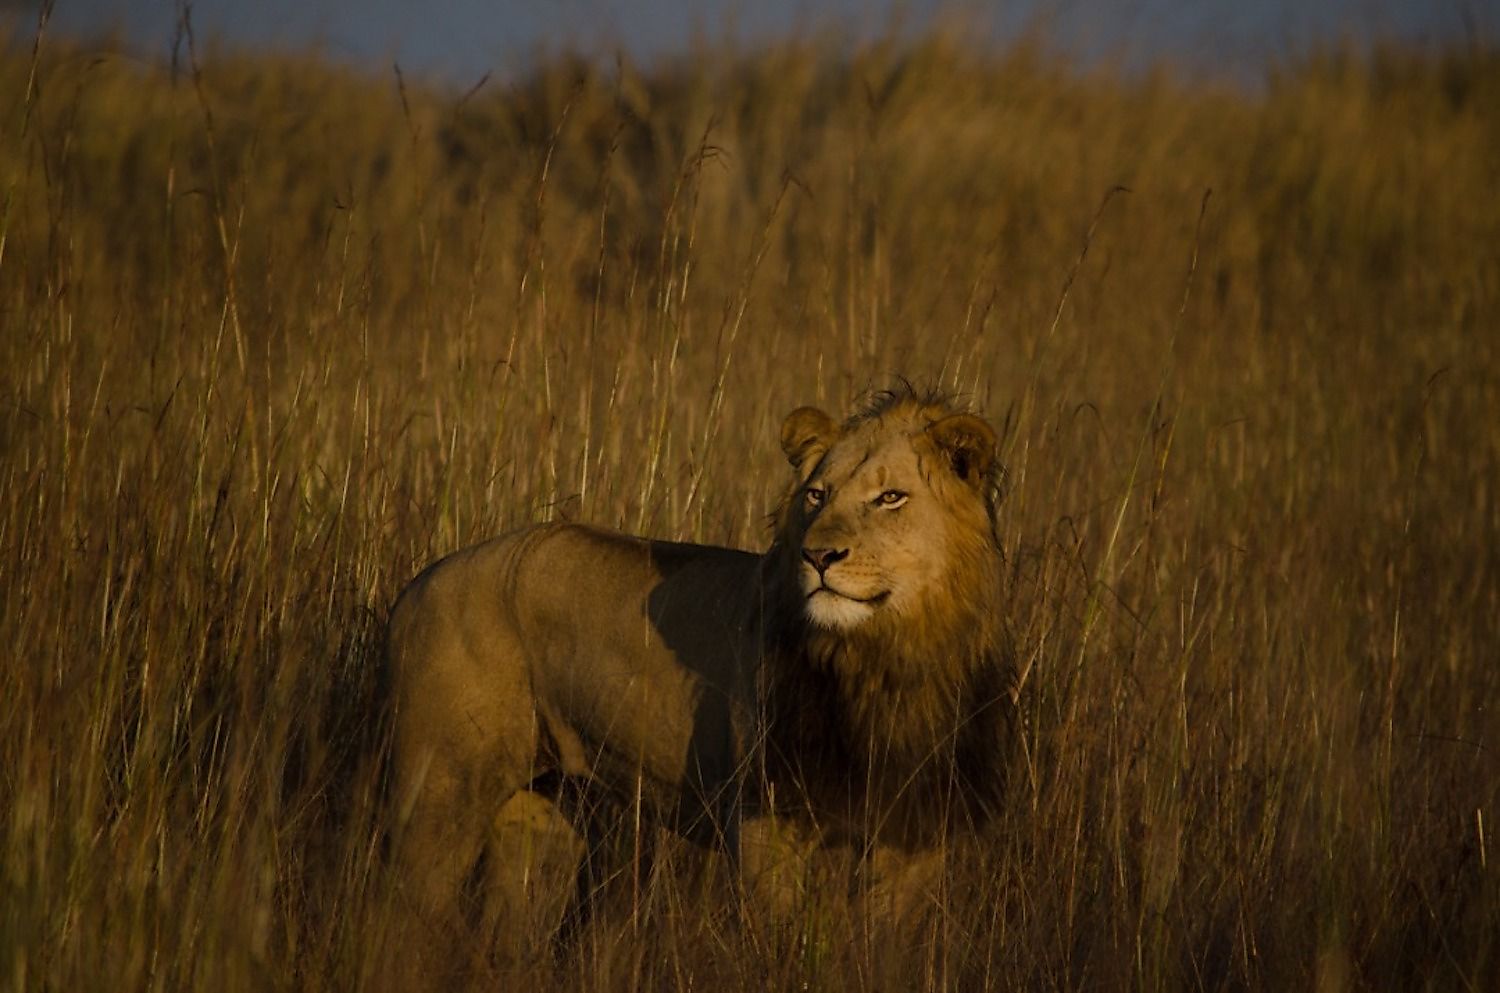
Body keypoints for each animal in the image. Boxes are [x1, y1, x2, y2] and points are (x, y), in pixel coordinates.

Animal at [384, 385, 1015, 972]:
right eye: (817, 494)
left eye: (890, 498)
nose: (818, 557)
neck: (887, 661)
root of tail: (419, 583)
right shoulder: (767, 819)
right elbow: (781, 948)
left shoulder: (917, 835)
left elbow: (884, 947)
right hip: (442, 790)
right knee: (402, 911)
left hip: (545, 812)